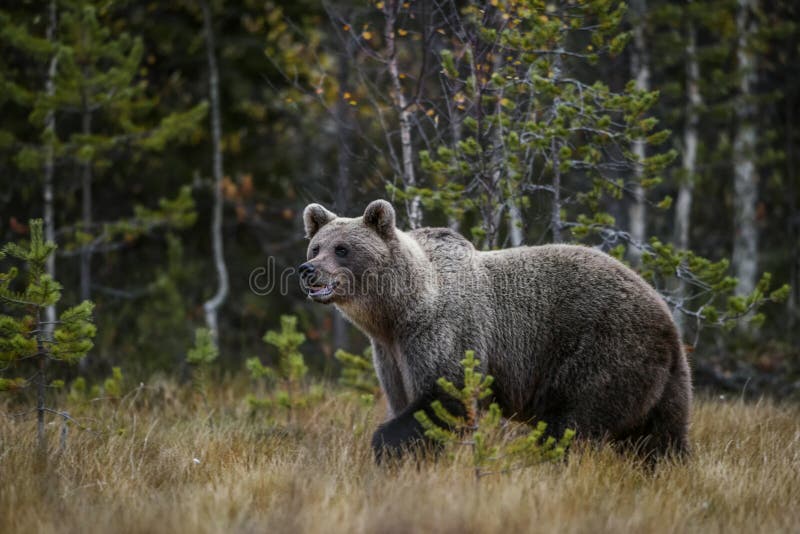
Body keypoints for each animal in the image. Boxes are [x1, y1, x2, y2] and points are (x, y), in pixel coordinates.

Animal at [300, 199, 691, 462]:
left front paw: (387, 448)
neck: (398, 312)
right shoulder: (390, 354)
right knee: (661, 437)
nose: (308, 269)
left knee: (572, 422)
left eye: (342, 249)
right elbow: (404, 401)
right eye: (316, 246)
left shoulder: (443, 332)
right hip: (664, 381)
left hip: (602, 350)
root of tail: (665, 315)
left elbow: (446, 397)